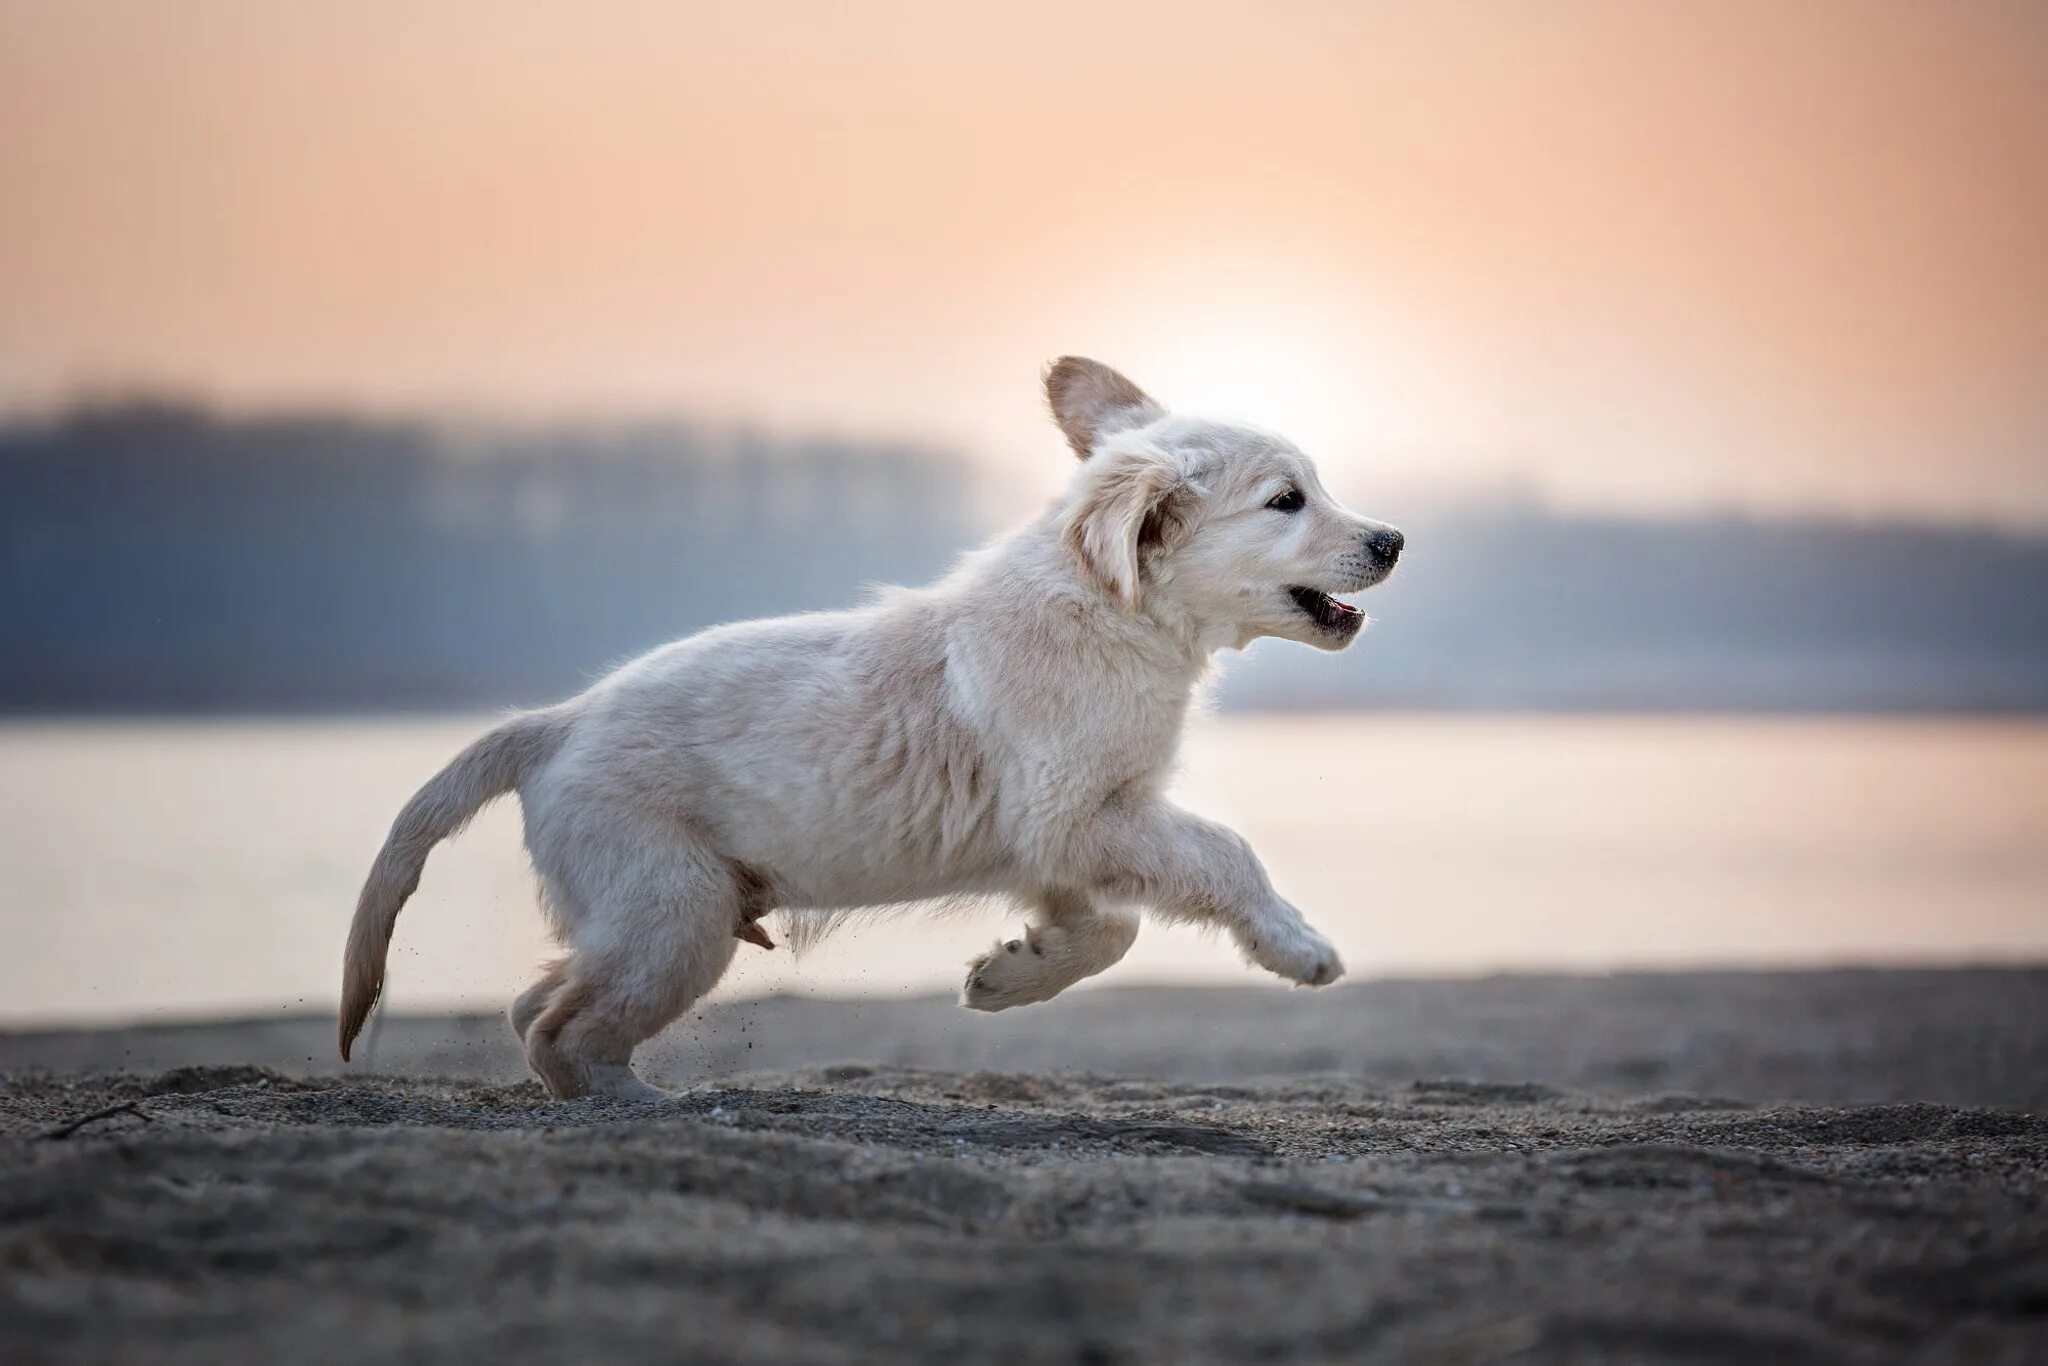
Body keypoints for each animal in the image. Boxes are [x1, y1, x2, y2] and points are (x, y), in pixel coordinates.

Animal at [344, 356, 1400, 1097]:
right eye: (1286, 500)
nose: (1392, 540)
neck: (1114, 609)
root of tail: (556, 722)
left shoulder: (1063, 837)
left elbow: (1112, 927)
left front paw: (1013, 974)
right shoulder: (1076, 813)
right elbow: (1222, 854)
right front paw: (1299, 948)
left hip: (642, 917)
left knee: (537, 1000)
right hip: (672, 914)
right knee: (556, 1026)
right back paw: (641, 1103)